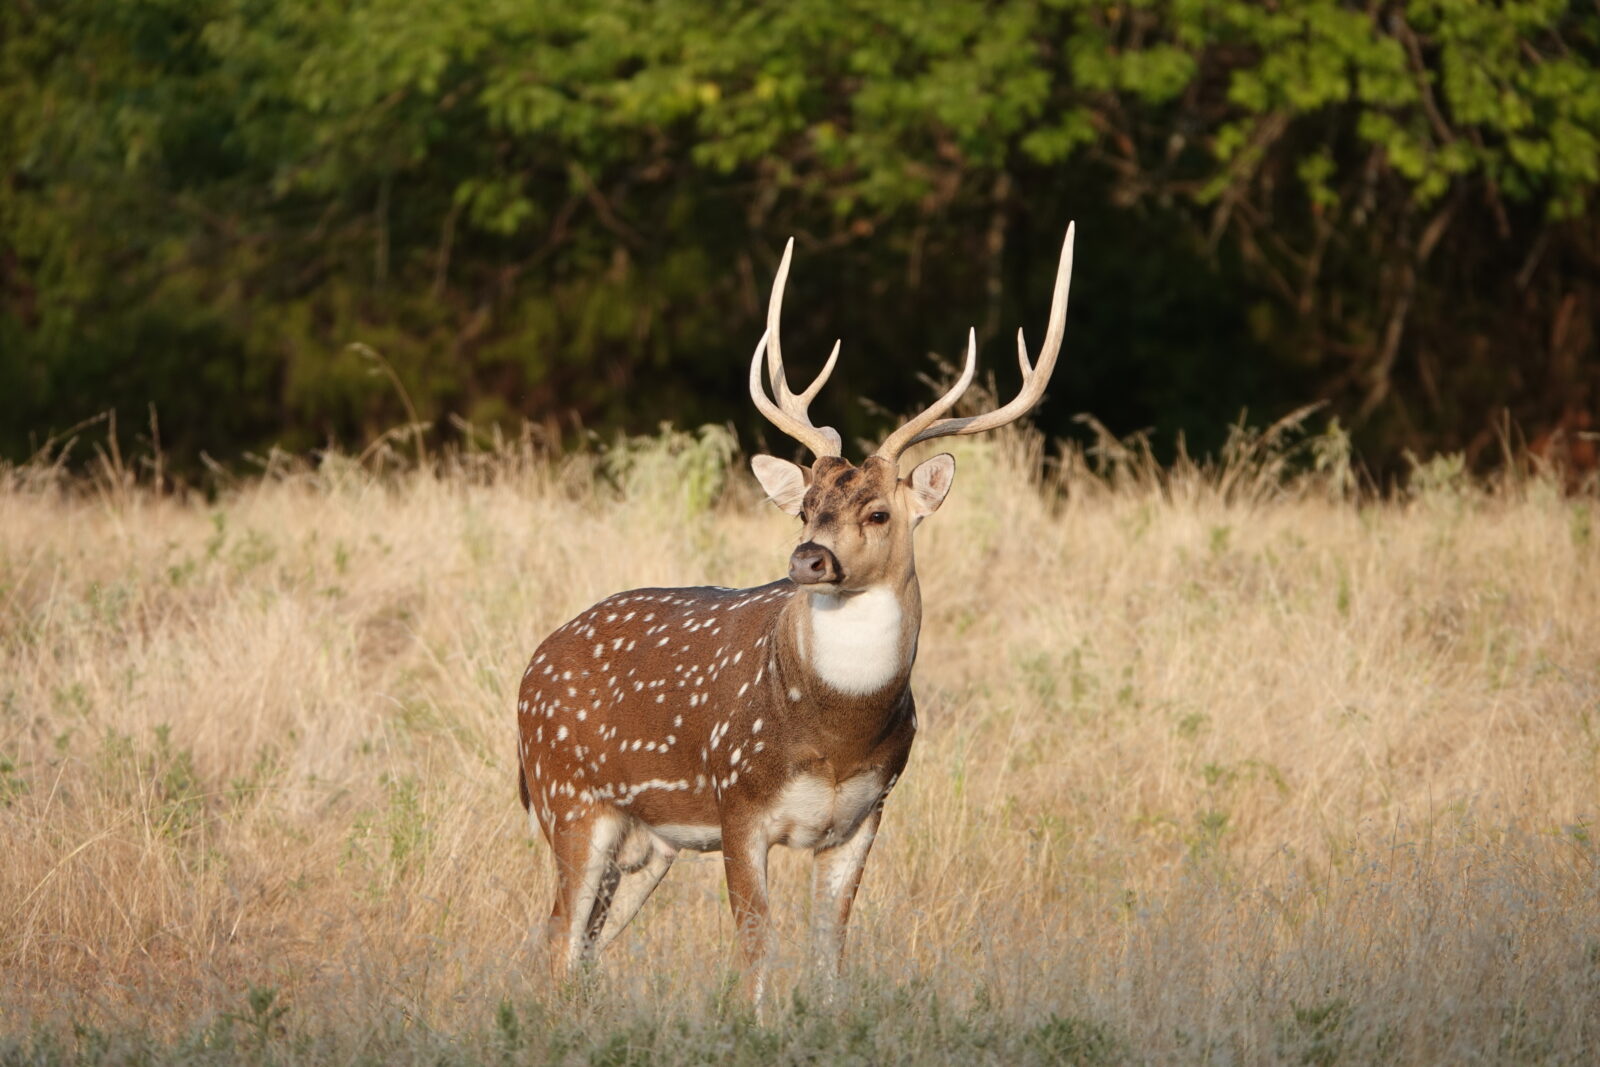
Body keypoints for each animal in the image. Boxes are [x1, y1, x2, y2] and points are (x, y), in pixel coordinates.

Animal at [516, 225, 1075, 1005]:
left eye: (878, 511)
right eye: (806, 505)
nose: (808, 557)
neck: (836, 733)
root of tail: (530, 670)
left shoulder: (865, 814)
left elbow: (828, 951)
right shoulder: (738, 801)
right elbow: (757, 950)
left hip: (647, 842)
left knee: (579, 945)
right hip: (568, 797)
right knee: (558, 942)